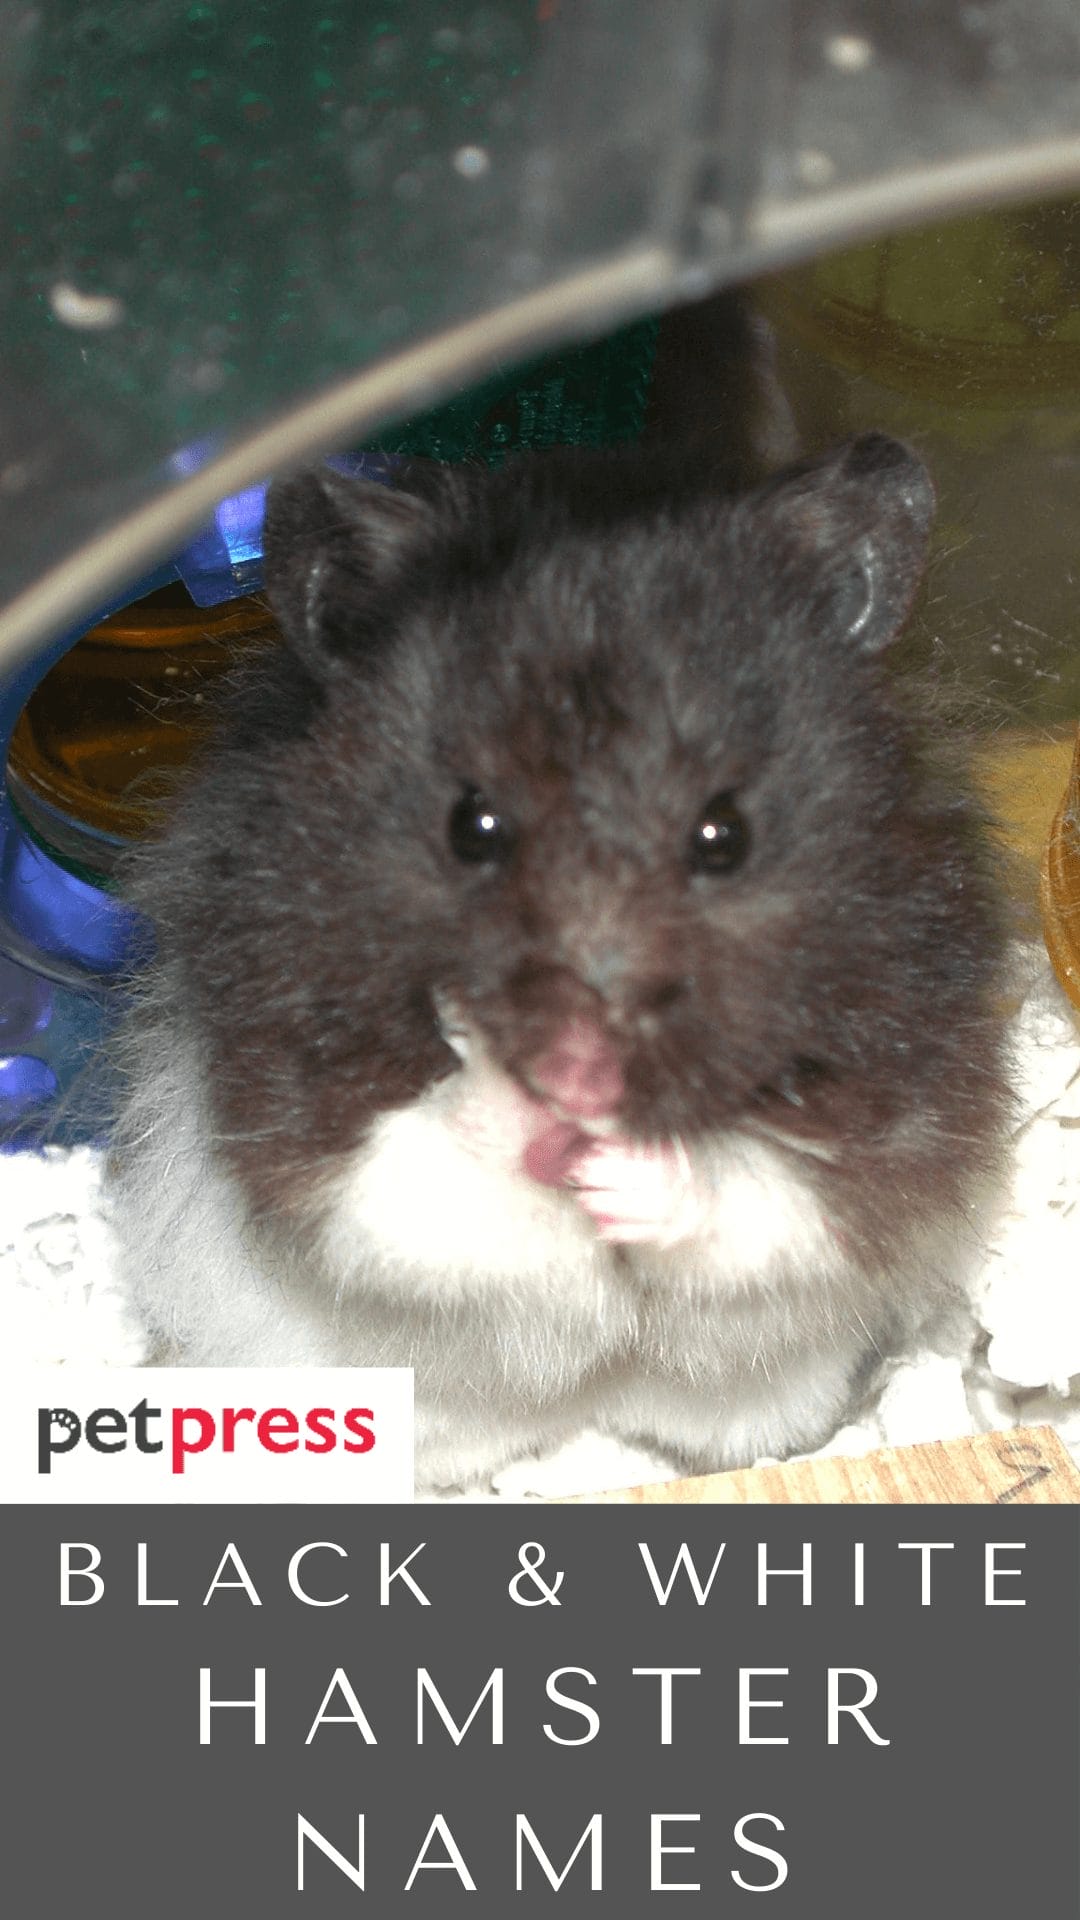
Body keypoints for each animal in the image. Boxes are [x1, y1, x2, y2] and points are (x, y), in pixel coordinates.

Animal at [111, 434, 1011, 1490]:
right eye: (472, 825)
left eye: (725, 835)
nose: (583, 1084)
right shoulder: (297, 1116)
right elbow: (414, 1169)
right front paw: (510, 1097)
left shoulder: (899, 1107)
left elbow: (766, 1194)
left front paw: (626, 1169)